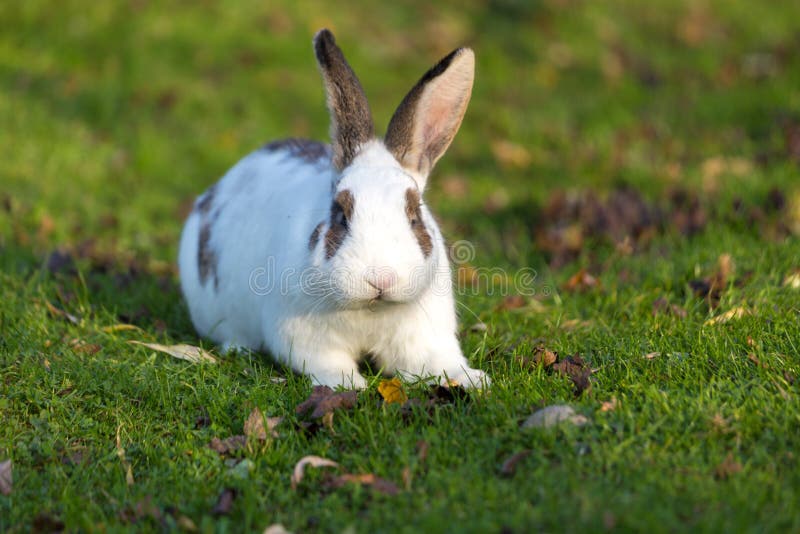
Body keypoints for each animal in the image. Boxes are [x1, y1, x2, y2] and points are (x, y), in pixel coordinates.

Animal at [178, 29, 489, 390]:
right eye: (341, 215)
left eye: (414, 217)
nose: (380, 278)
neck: (370, 310)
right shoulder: (304, 337)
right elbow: (328, 363)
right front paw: (351, 385)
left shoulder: (422, 337)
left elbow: (436, 361)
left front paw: (472, 379)